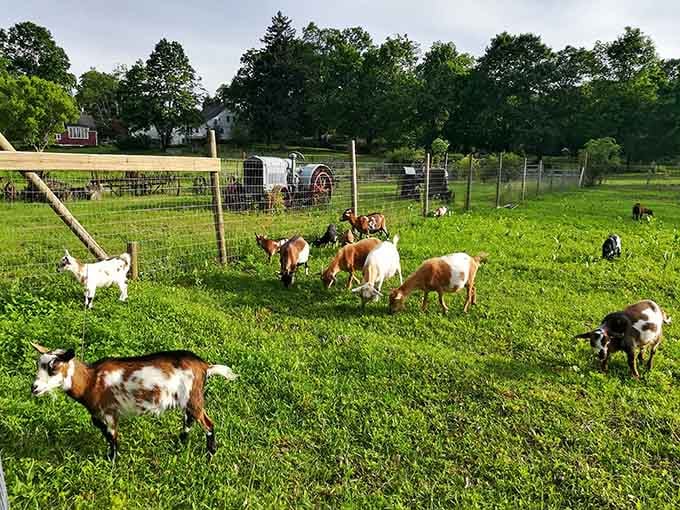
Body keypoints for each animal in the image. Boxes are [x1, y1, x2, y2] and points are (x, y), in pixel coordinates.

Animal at [30, 343, 238, 460]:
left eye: (53, 368)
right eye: (38, 365)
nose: (34, 387)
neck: (91, 381)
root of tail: (205, 366)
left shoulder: (109, 413)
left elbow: (112, 437)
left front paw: (112, 461)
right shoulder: (98, 415)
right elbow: (106, 434)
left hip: (193, 398)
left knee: (208, 424)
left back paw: (210, 455)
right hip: (187, 399)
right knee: (189, 420)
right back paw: (179, 444)